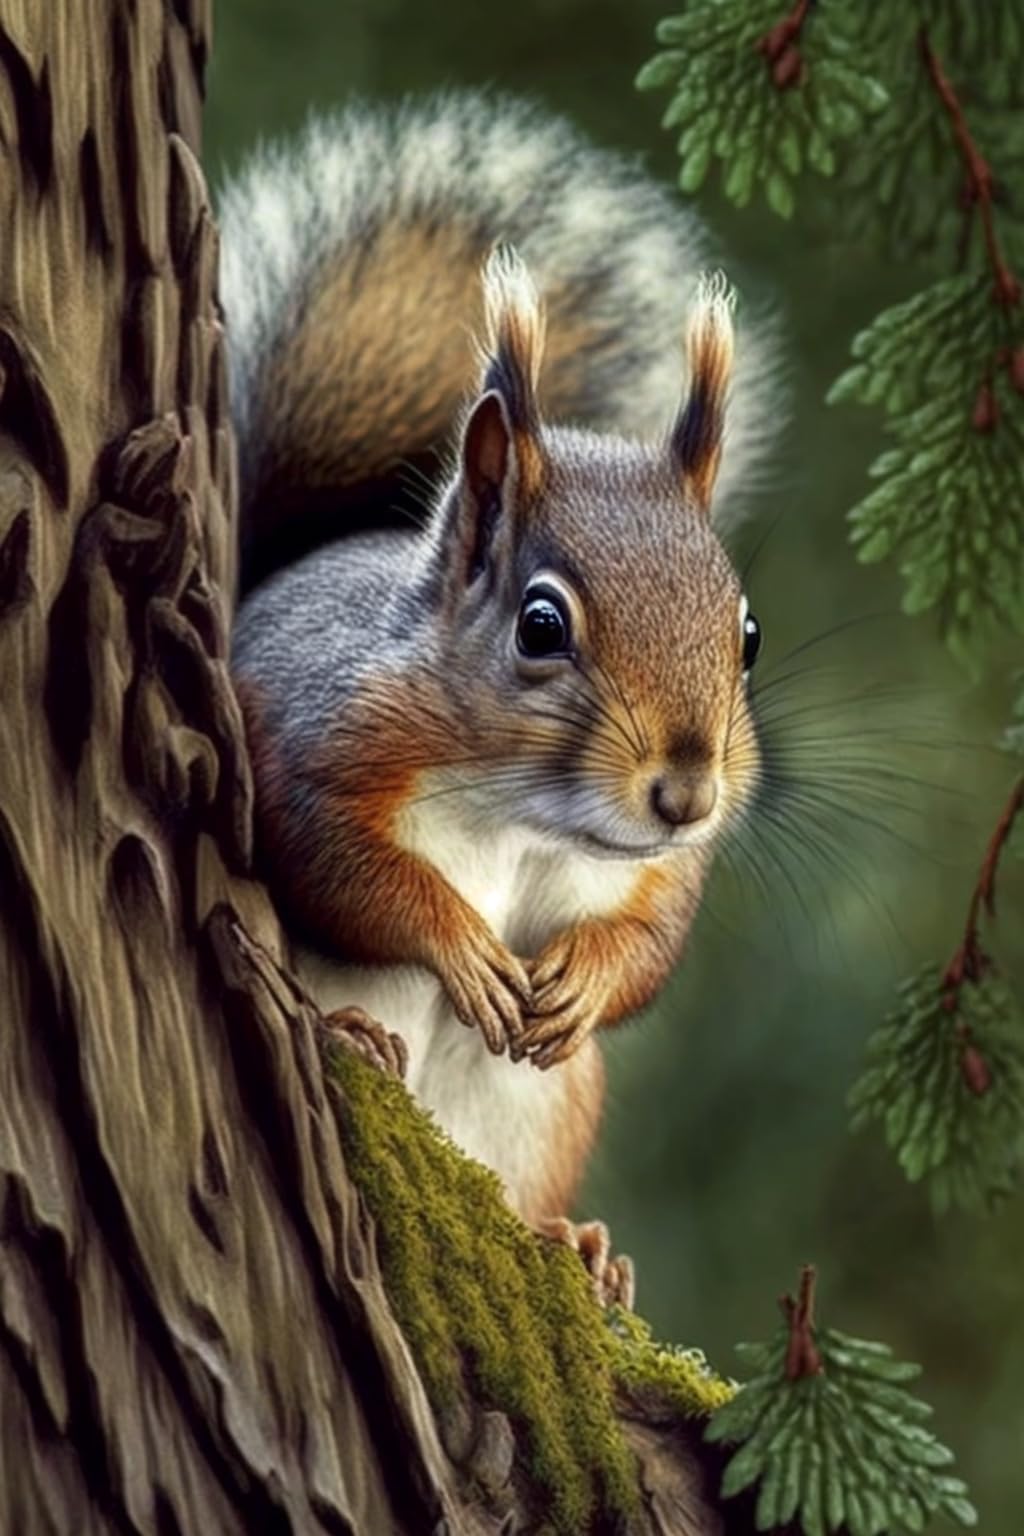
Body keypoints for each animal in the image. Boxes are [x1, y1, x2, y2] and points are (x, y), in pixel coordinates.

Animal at [224, 92, 776, 1304]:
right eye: (541, 627)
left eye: (748, 635)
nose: (687, 794)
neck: (527, 812)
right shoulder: (314, 731)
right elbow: (330, 863)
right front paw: (462, 944)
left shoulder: (658, 872)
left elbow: (652, 938)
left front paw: (583, 979)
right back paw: (354, 1034)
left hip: (546, 1107)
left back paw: (577, 1244)